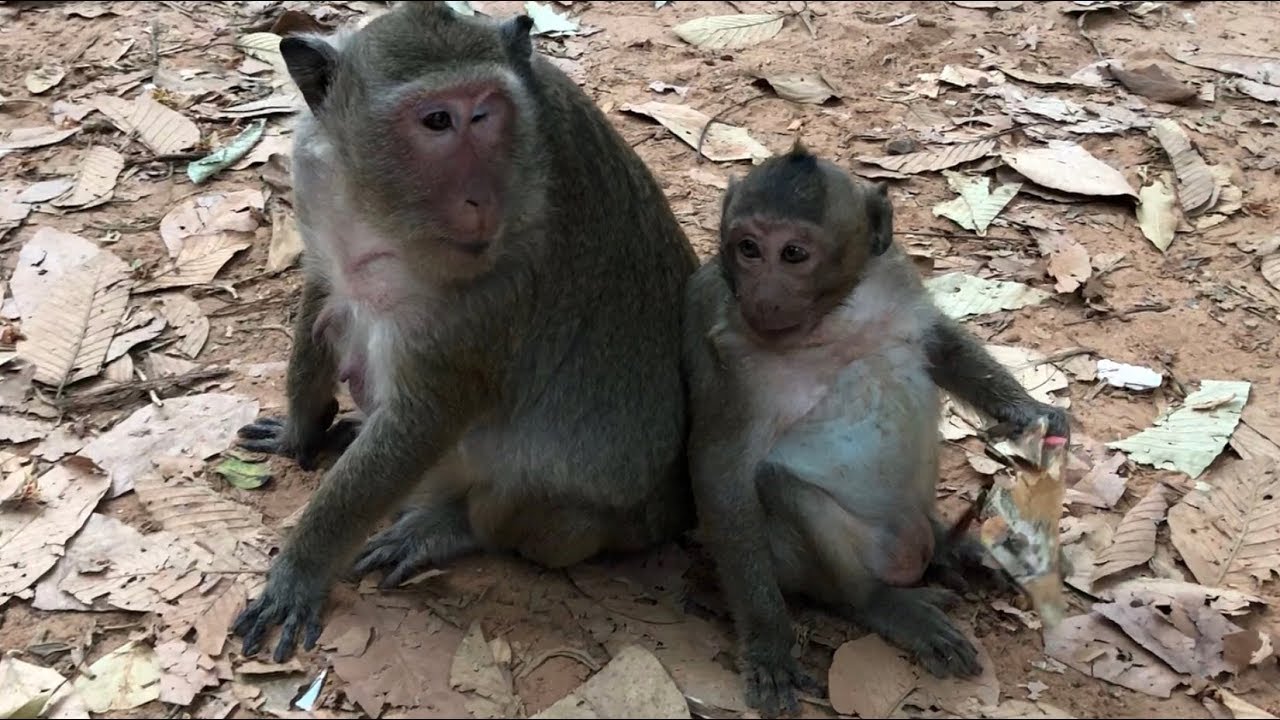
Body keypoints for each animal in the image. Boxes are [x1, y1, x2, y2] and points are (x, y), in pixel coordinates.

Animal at [231, 2, 699, 662]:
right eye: (437, 121)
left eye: (483, 114)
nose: (480, 199)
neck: (377, 205)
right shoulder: (314, 173)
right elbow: (325, 291)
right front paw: (301, 429)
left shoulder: (504, 277)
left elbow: (425, 419)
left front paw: (301, 569)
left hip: (585, 520)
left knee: (516, 499)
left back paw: (450, 527)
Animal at [682, 145, 1069, 716]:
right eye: (748, 248)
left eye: (793, 254)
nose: (763, 294)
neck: (827, 320)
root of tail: (914, 551)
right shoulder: (714, 324)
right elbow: (721, 476)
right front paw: (769, 645)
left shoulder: (893, 275)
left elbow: (938, 343)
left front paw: (1027, 412)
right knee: (781, 489)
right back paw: (882, 603)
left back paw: (953, 548)